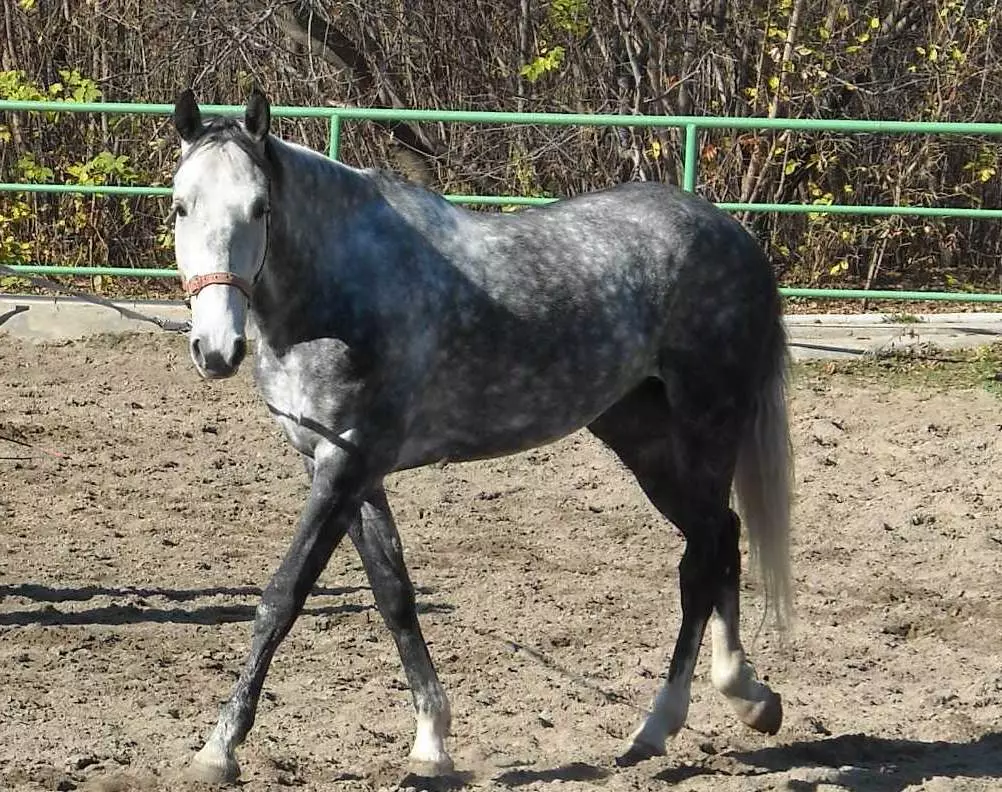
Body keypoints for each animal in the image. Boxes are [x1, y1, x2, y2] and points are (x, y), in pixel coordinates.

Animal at [174, 89, 797, 785]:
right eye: (180, 204)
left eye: (259, 208)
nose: (216, 350)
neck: (342, 289)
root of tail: (734, 234)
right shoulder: (343, 469)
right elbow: (394, 594)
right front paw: (431, 742)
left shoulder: (346, 463)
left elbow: (283, 596)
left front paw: (219, 748)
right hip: (645, 442)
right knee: (720, 538)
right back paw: (749, 699)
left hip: (708, 427)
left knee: (704, 556)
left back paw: (661, 725)